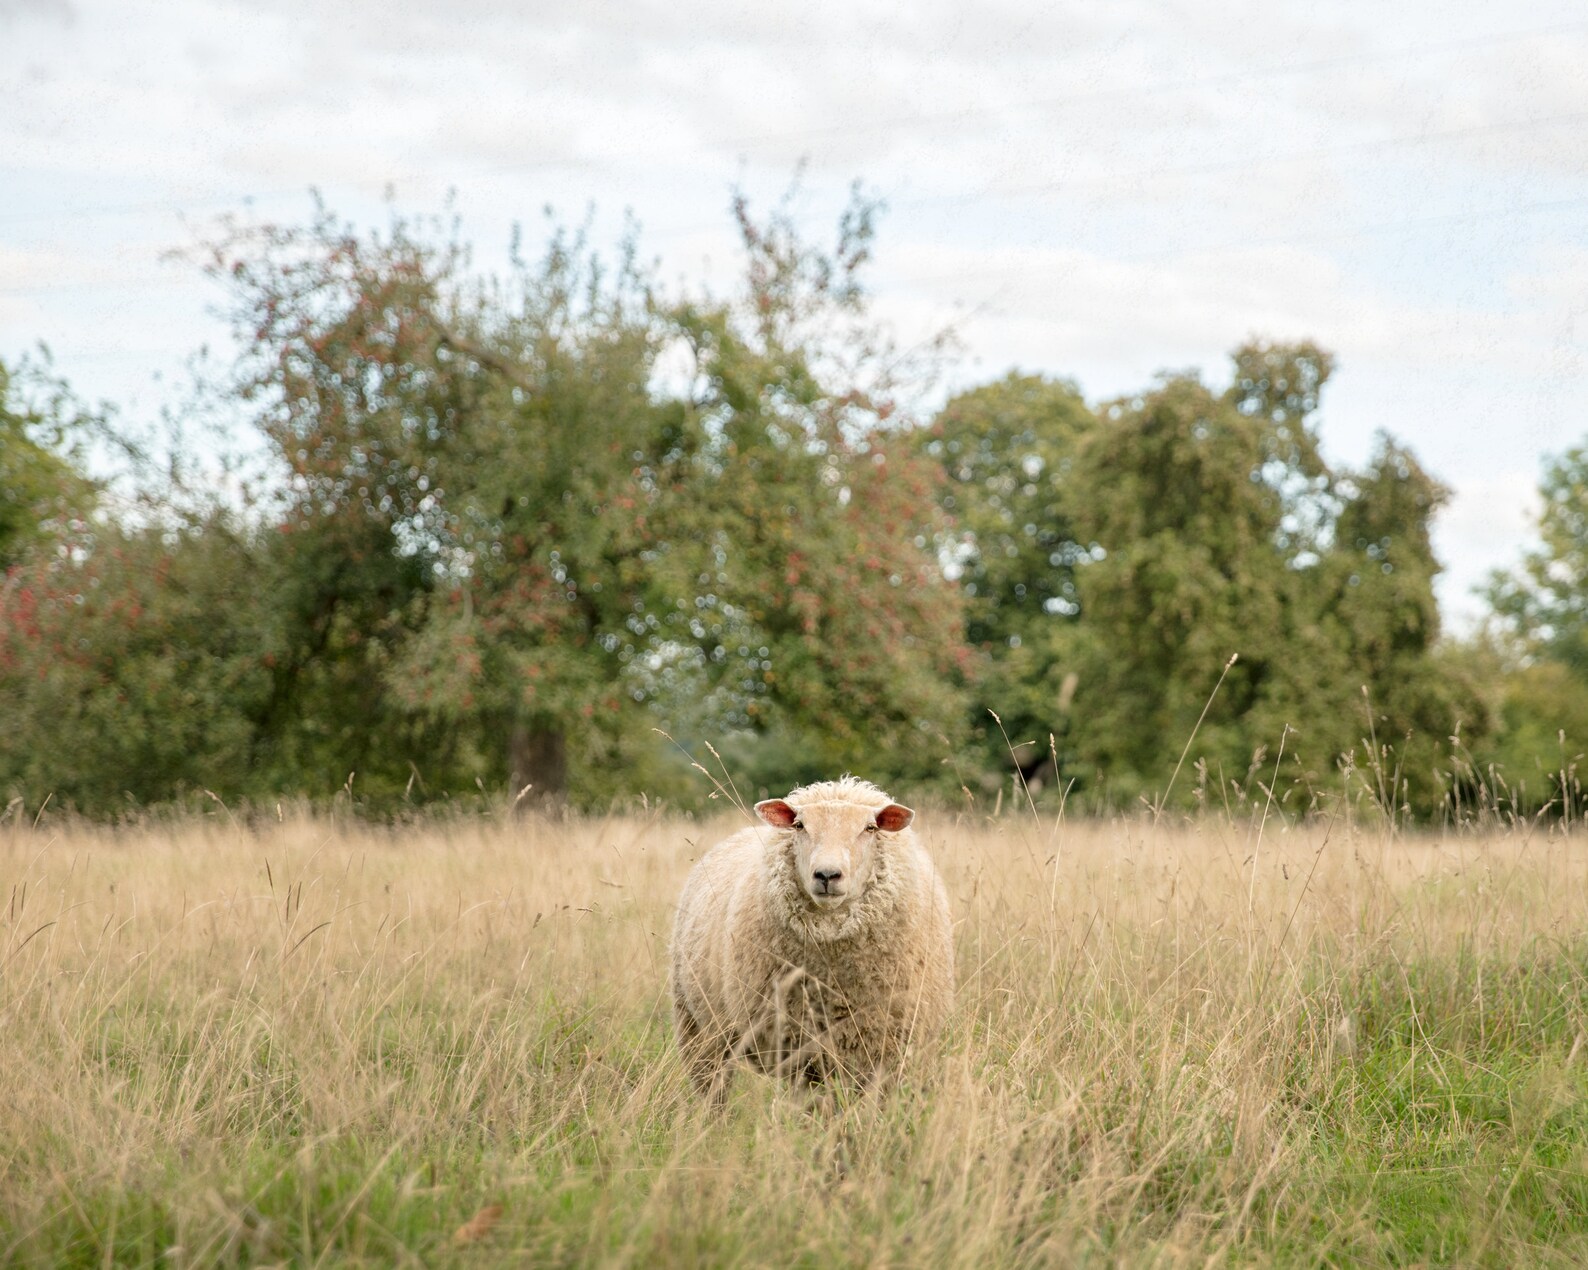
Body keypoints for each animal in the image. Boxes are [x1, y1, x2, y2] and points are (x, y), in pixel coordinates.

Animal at [670, 776, 954, 1098]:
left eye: (870, 828)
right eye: (799, 825)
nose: (827, 875)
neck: (834, 982)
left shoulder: (883, 1045)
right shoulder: (801, 1049)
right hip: (697, 1029)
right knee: (712, 1089)